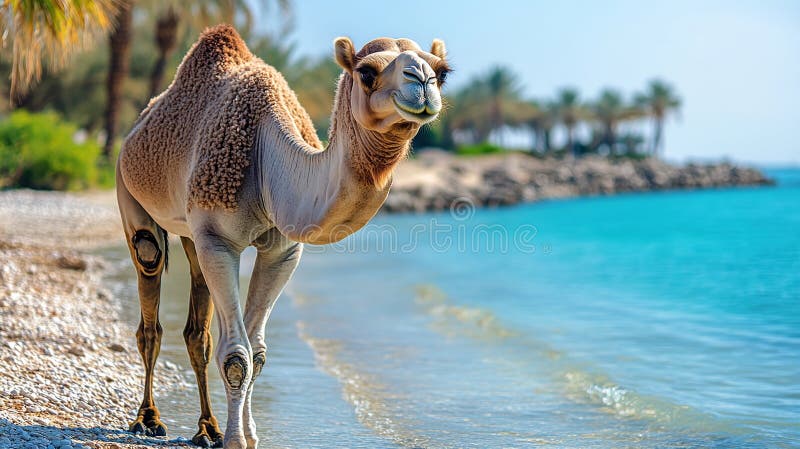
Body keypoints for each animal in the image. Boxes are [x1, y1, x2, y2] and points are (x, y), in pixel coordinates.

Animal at [115, 25, 449, 449]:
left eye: (442, 71)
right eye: (366, 71)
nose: (421, 82)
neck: (266, 158)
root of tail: (134, 129)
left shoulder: (282, 250)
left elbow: (256, 353)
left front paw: (248, 436)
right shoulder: (219, 239)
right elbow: (236, 355)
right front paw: (237, 441)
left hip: (191, 232)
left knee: (196, 326)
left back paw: (206, 428)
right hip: (130, 193)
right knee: (149, 286)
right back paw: (148, 419)